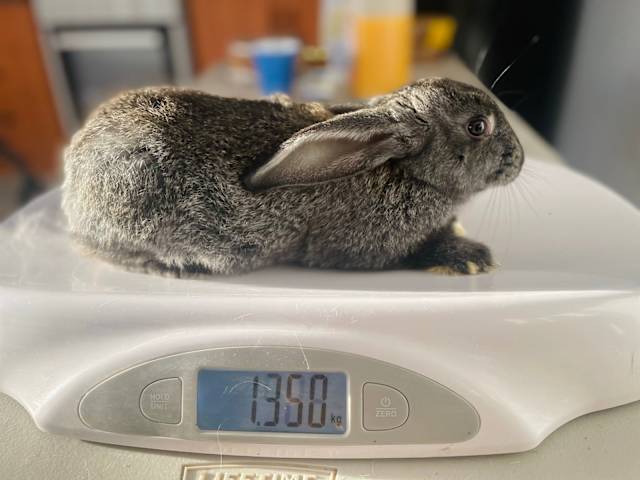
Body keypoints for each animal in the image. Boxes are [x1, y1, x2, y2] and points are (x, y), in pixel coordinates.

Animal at [62, 77, 524, 277]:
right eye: (477, 127)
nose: (518, 159)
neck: (403, 168)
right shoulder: (366, 251)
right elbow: (413, 254)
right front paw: (469, 256)